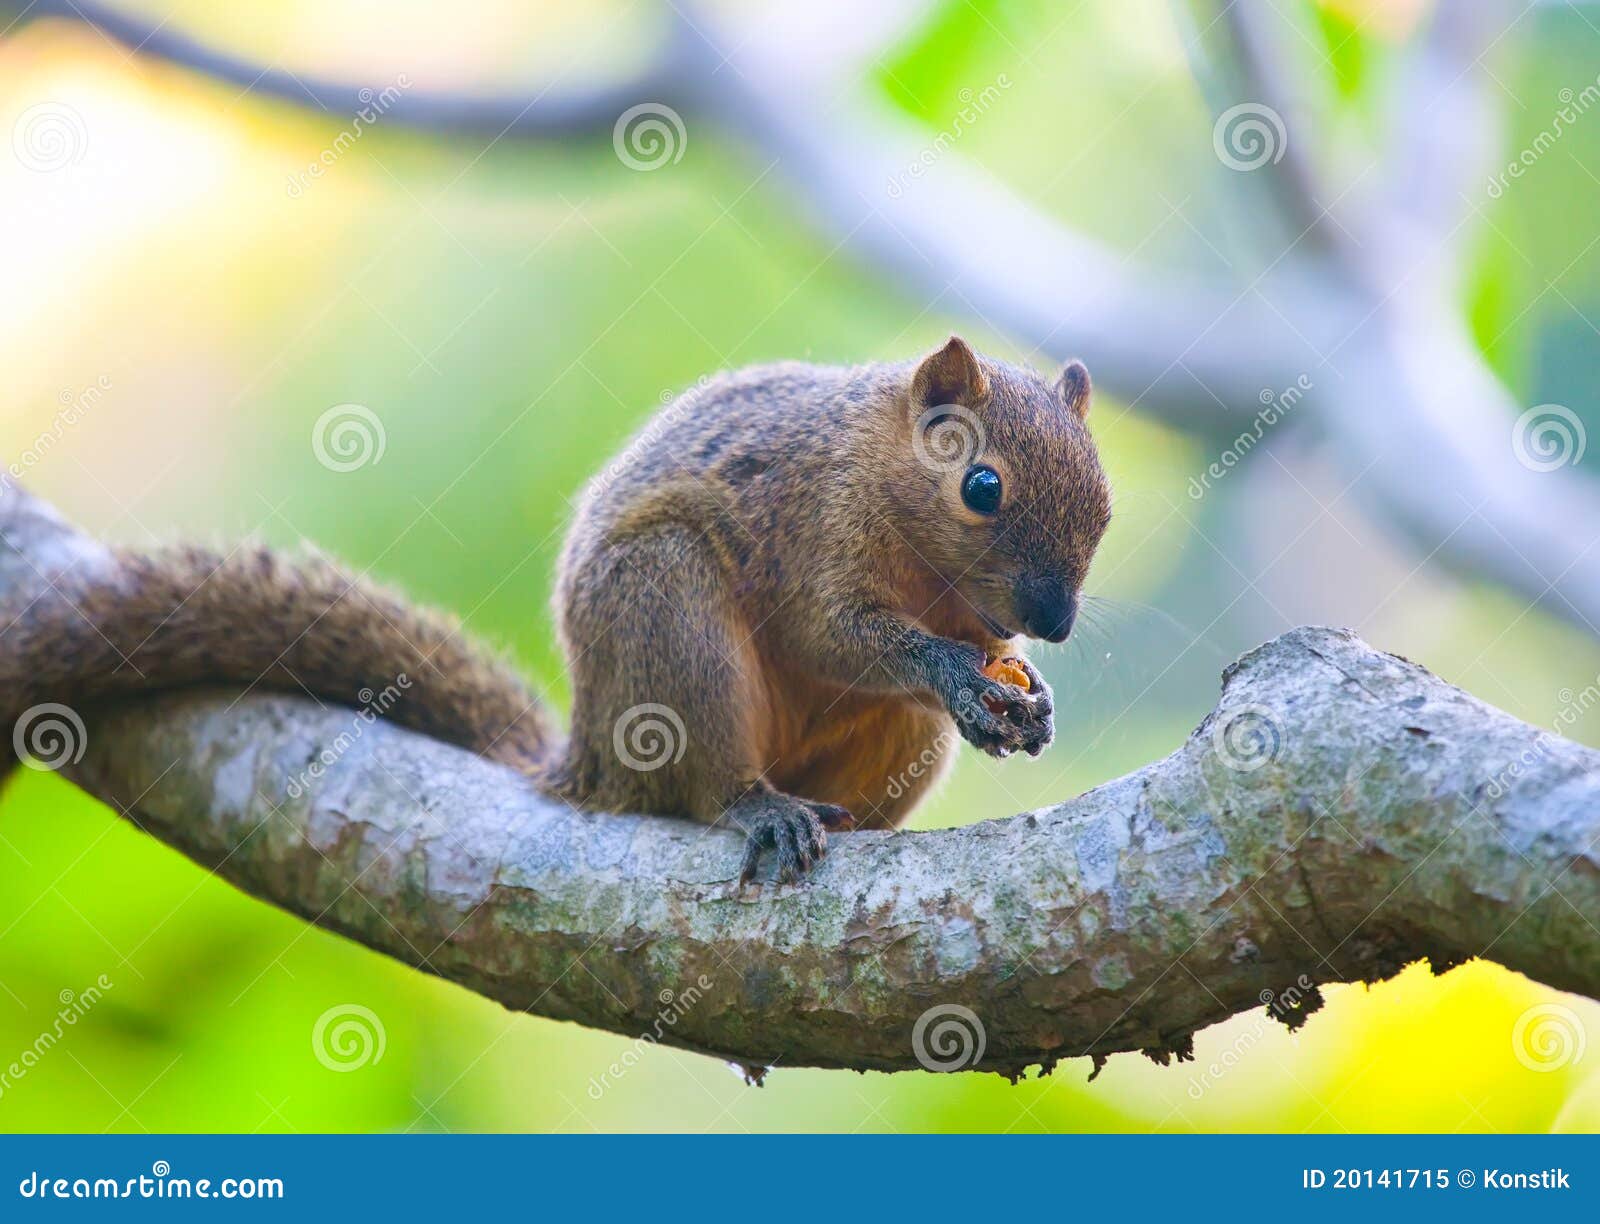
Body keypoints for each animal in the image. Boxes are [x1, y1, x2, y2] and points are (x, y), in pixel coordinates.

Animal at [1, 336, 1109, 883]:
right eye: (980, 487)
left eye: (1101, 502)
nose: (1056, 623)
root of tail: (592, 758)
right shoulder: (809, 530)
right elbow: (837, 634)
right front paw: (954, 671)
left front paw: (1027, 690)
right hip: (666, 615)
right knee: (702, 788)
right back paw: (756, 806)